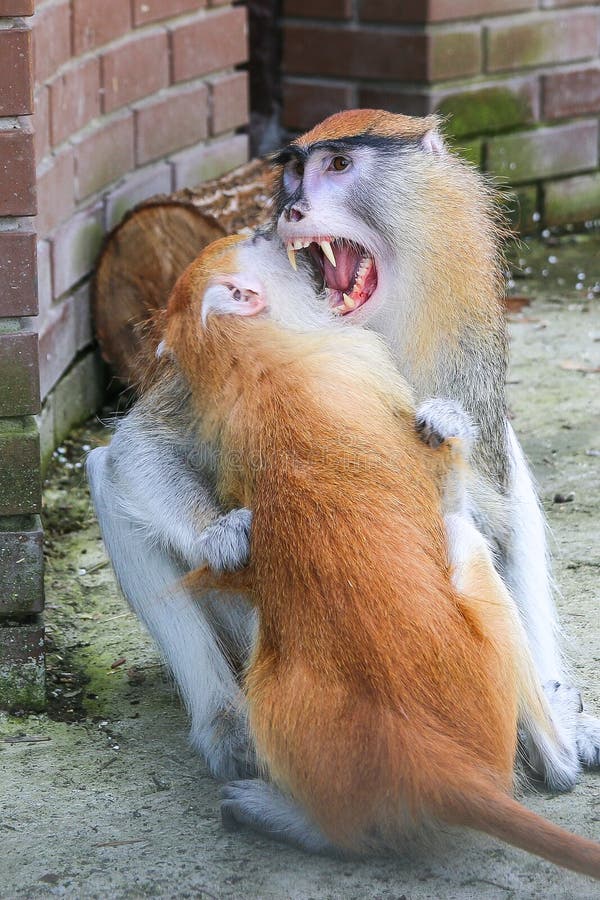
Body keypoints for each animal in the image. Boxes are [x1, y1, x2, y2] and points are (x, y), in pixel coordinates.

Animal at [87, 111, 599, 791]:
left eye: (337, 166)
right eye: (293, 171)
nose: (292, 209)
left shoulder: (465, 360)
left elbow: (495, 505)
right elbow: (137, 448)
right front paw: (220, 534)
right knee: (108, 474)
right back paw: (228, 728)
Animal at [157, 233, 600, 878]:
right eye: (255, 242)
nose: (267, 228)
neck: (250, 358)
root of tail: (435, 765)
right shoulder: (365, 357)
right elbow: (447, 494)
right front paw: (449, 431)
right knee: (461, 535)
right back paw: (560, 752)